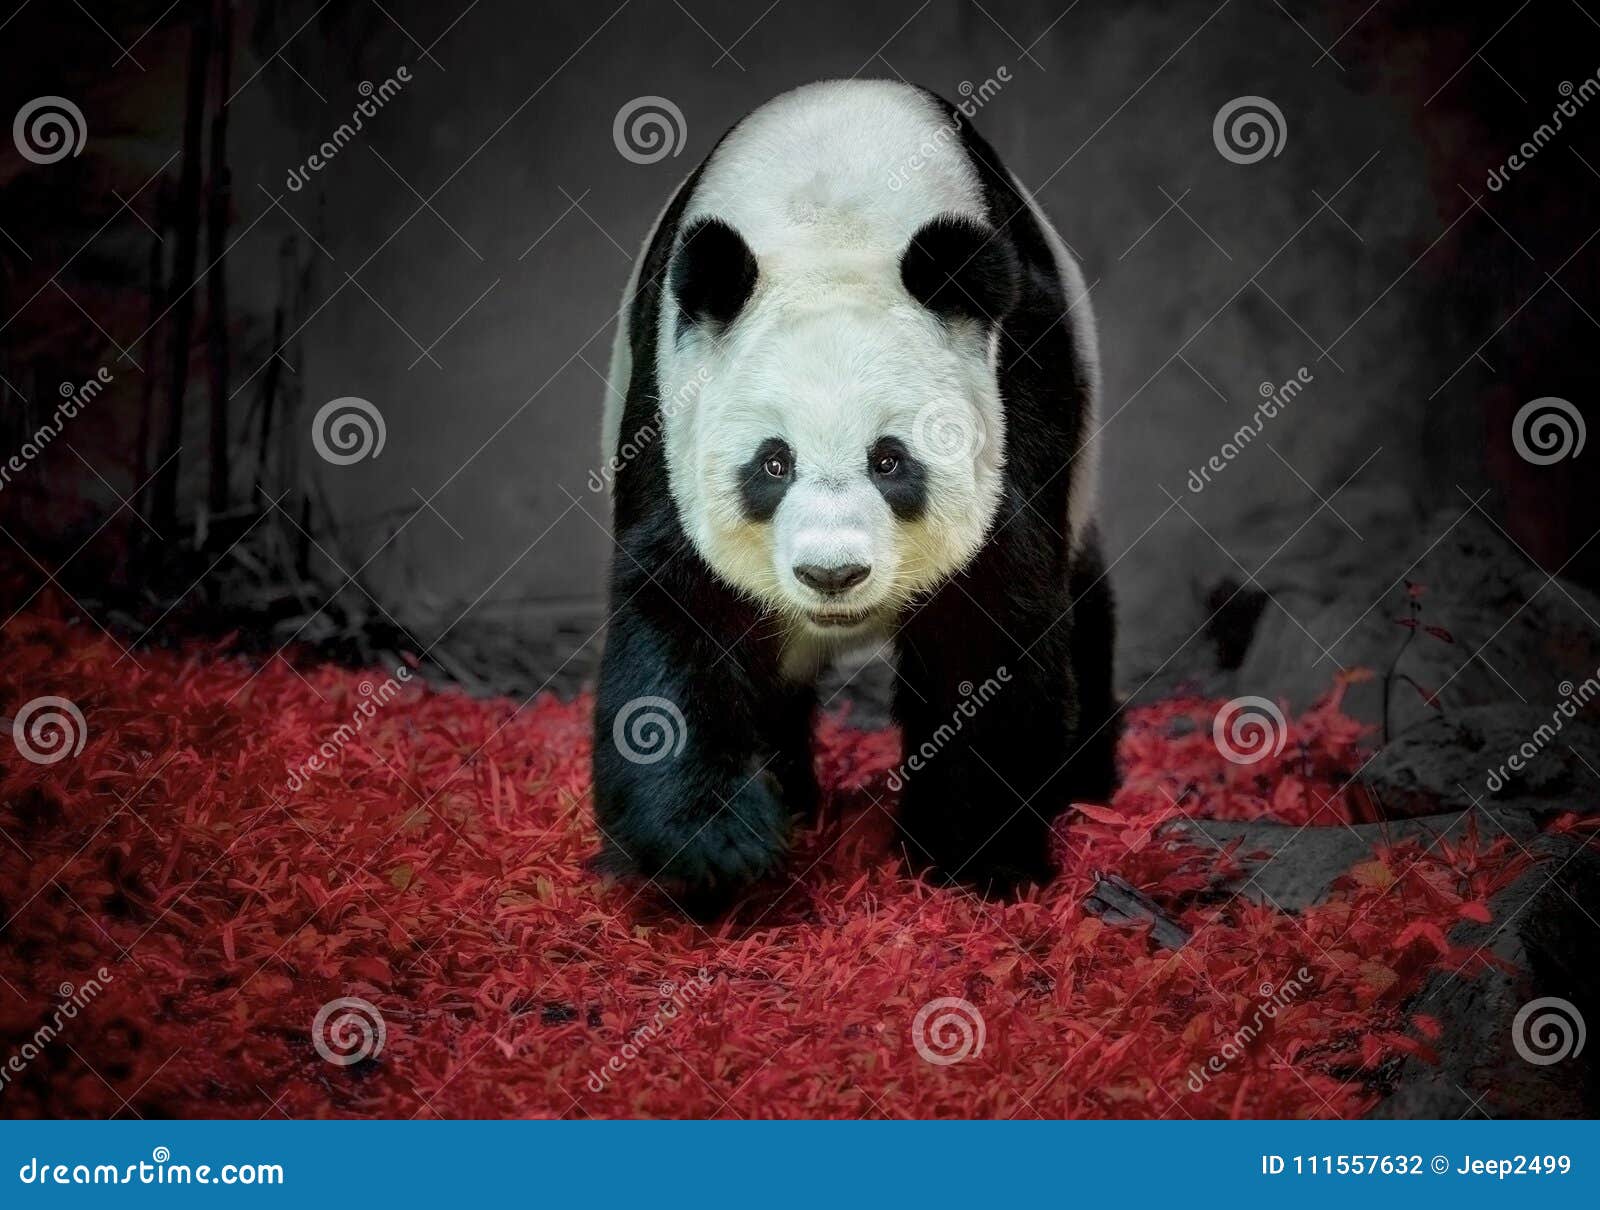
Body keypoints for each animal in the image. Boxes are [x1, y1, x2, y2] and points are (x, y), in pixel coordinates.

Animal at [593, 79, 1116, 915]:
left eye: (890, 460)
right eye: (773, 464)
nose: (831, 575)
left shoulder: (1018, 385)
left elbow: (994, 618)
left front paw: (977, 858)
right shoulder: (667, 409)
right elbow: (677, 614)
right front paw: (717, 847)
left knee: (1083, 595)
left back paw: (1089, 780)